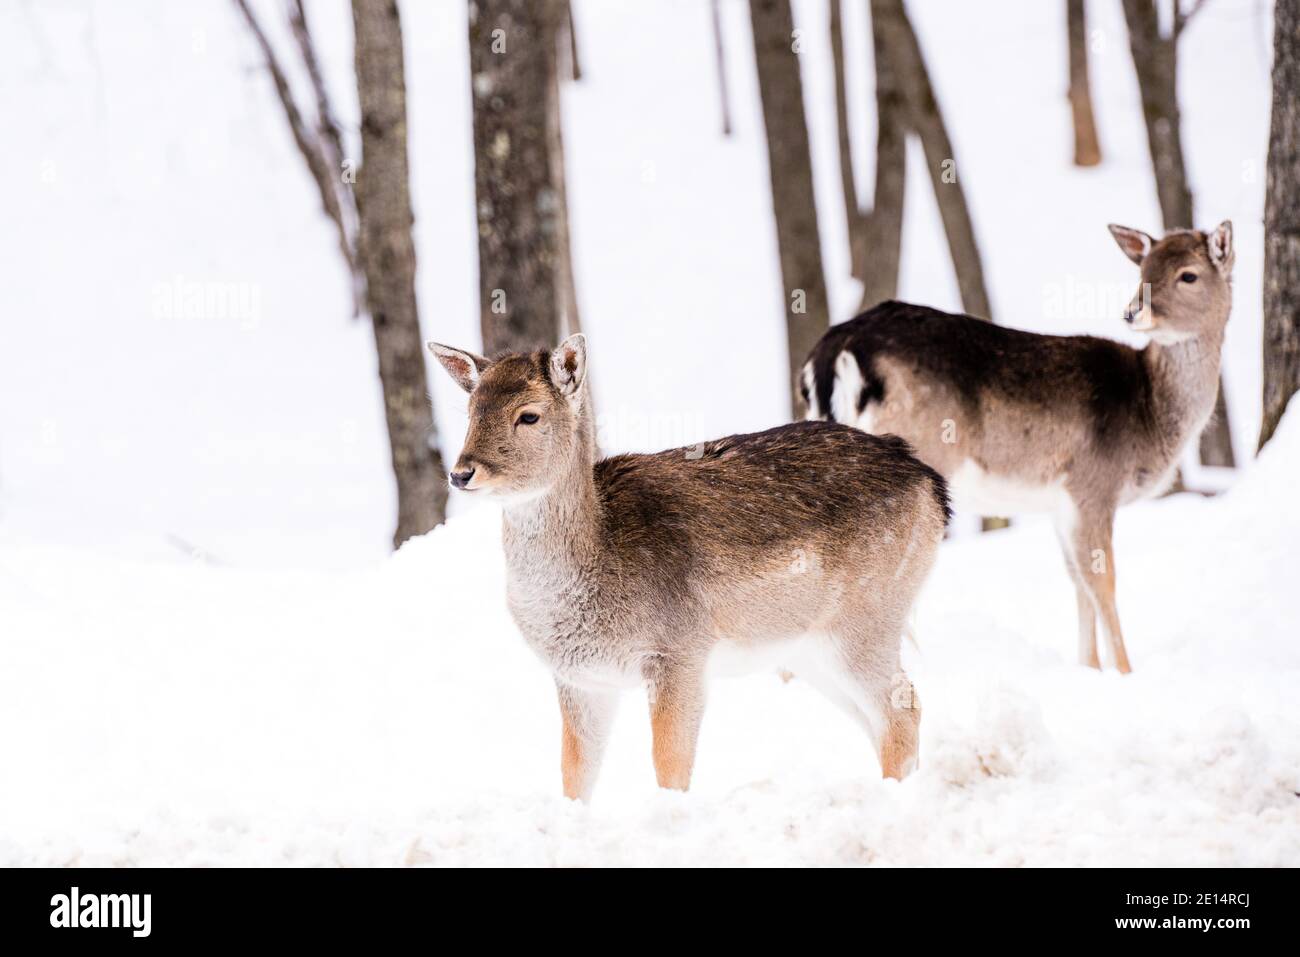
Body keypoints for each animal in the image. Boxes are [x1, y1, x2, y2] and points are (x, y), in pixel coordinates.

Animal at [428, 334, 950, 800]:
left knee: (903, 707)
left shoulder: (679, 651)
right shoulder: (579, 679)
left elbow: (669, 764)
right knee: (881, 717)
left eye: (529, 415)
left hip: (866, 619)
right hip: (808, 649)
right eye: (471, 412)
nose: (461, 473)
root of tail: (932, 484)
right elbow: (574, 775)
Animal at [799, 221, 1236, 675]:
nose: (1133, 312)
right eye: (1143, 271)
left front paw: (1089, 668)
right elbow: (1103, 582)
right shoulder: (1093, 485)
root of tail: (838, 348)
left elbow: (1077, 581)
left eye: (1188, 274)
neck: (1149, 412)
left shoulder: (1062, 504)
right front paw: (1125, 672)